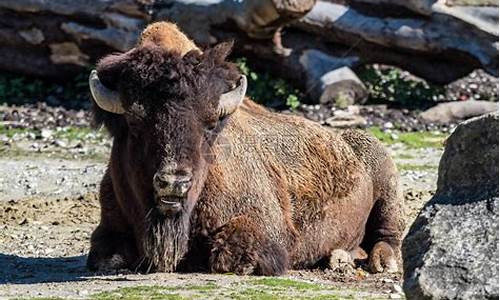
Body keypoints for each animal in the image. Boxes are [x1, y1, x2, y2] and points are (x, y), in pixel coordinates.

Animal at [87, 20, 406, 274]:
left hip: (386, 179)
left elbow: (231, 254)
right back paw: (338, 257)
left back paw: (378, 262)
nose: (174, 182)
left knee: (388, 235)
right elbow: (106, 256)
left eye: (210, 124)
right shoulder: (109, 228)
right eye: (134, 120)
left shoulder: (268, 227)